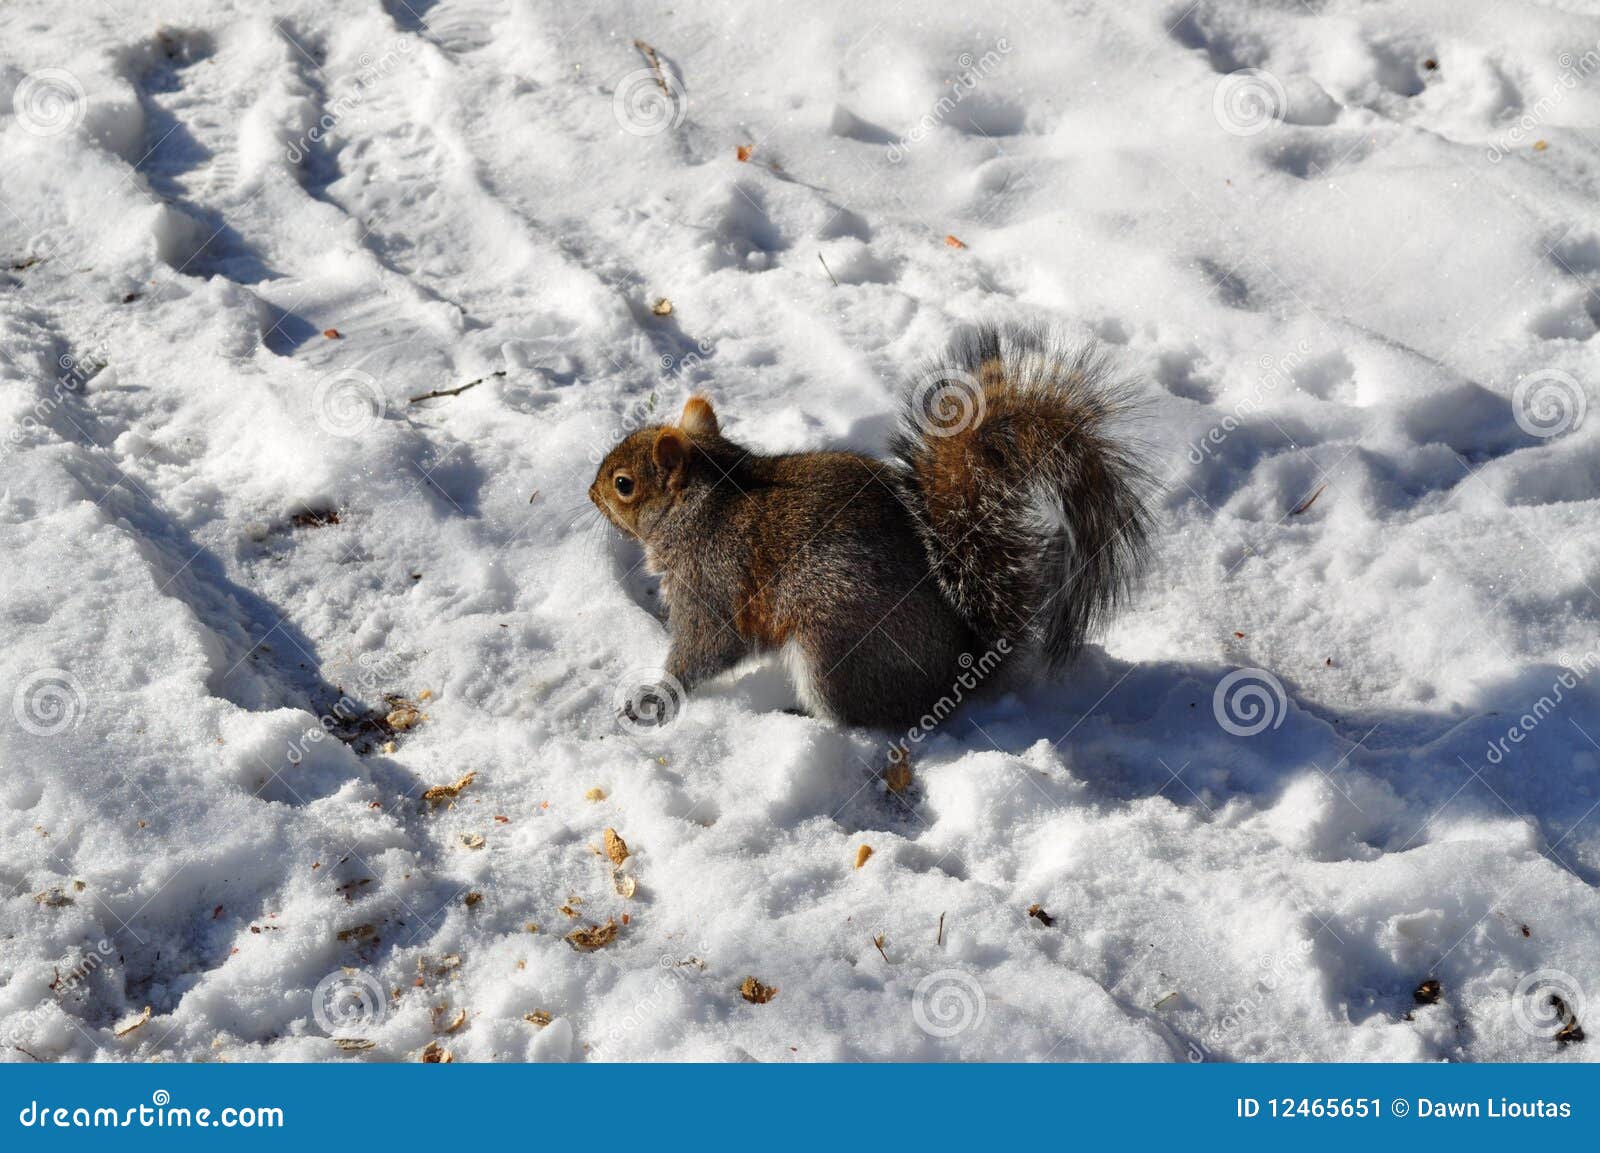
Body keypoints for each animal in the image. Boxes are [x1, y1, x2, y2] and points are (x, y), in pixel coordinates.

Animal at [588, 325, 1155, 729]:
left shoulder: (712, 580)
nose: (590, 494)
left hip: (831, 644)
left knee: (863, 720)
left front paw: (654, 696)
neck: (703, 504)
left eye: (623, 484)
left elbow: (708, 647)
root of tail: (955, 673)